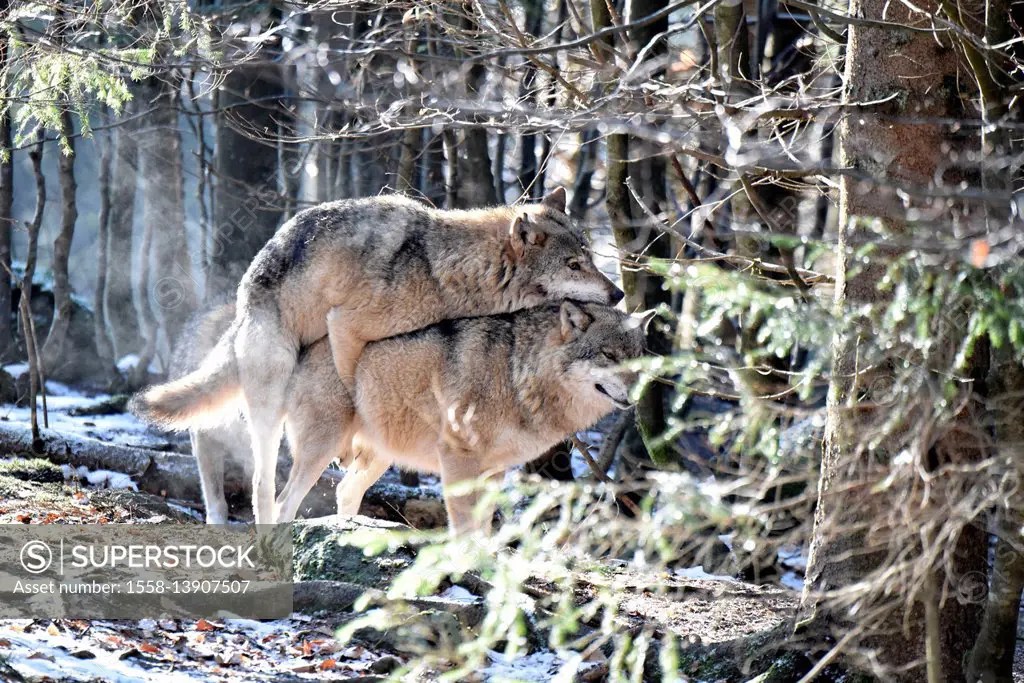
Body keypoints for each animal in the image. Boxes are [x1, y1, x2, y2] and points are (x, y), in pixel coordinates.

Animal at [131, 189, 623, 523]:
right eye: (574, 265)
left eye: (589, 257)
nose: (618, 293)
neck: (445, 272)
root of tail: (242, 299)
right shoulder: (345, 328)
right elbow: (351, 378)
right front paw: (352, 443)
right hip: (270, 393)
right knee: (263, 484)